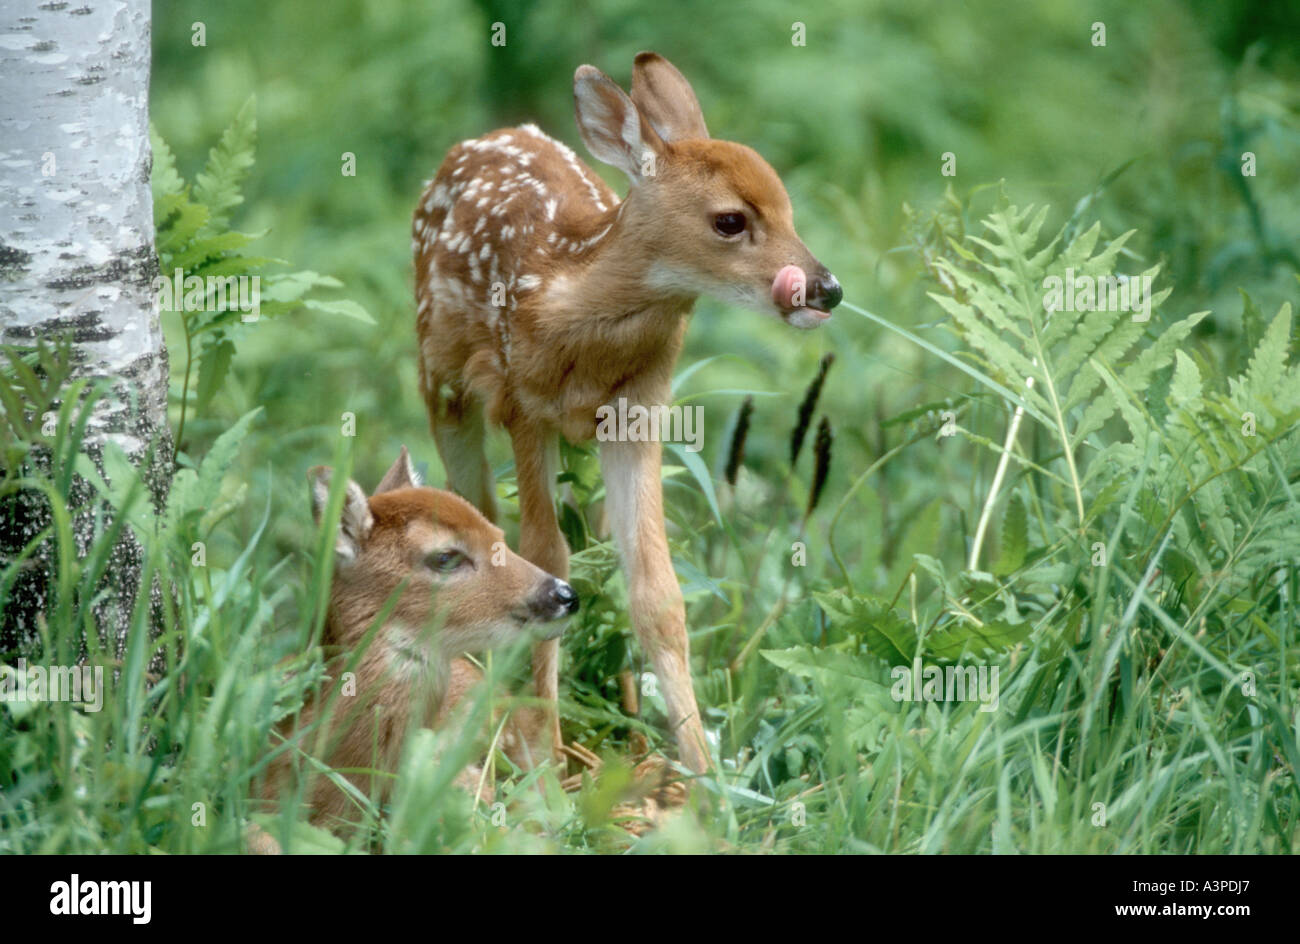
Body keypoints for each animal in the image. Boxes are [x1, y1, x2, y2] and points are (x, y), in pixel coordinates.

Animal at [413, 52, 841, 775]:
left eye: (787, 207)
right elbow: (546, 555)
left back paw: (632, 722)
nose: (825, 288)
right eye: (731, 220)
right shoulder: (521, 404)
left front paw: (701, 771)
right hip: (441, 383)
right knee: (478, 508)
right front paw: (550, 757)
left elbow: (655, 588)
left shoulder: (640, 411)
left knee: (593, 536)